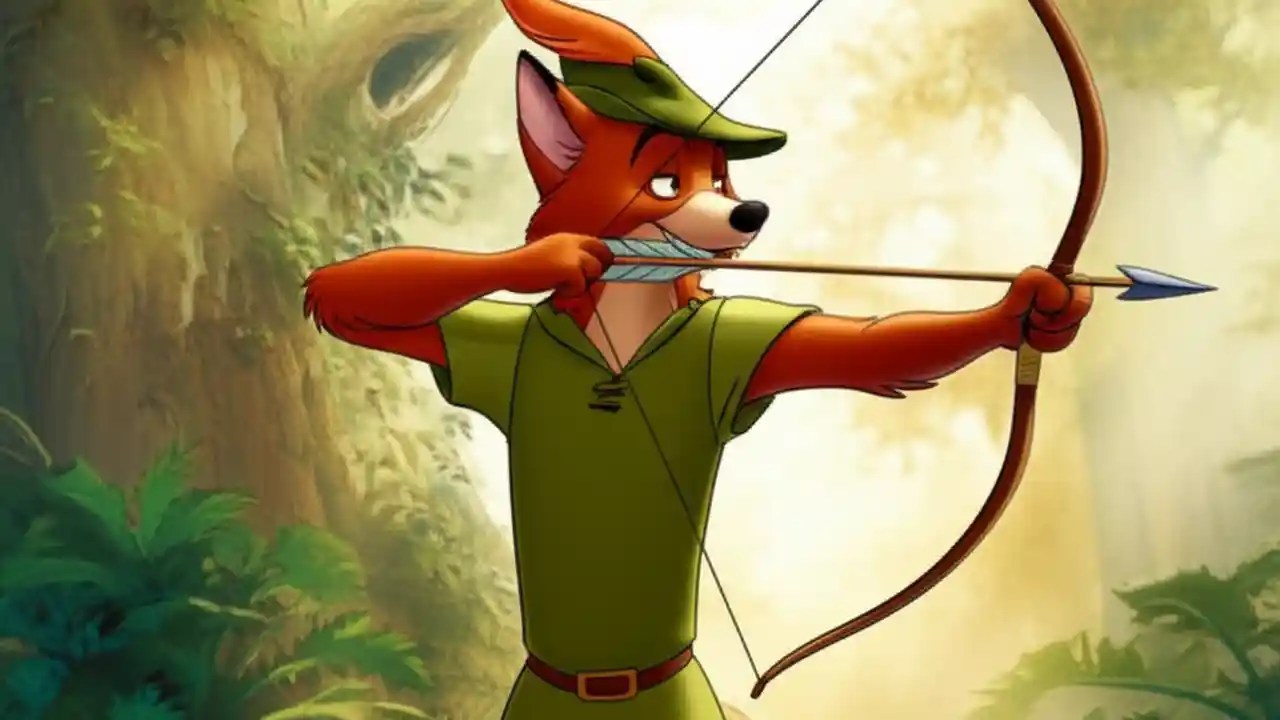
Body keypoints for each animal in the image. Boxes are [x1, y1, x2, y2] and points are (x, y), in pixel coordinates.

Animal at [301, 0, 1093, 717]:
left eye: (721, 179)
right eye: (665, 181)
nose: (751, 213)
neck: (623, 320)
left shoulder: (738, 340)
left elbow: (870, 349)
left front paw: (1035, 306)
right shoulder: (488, 336)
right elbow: (337, 286)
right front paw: (558, 257)